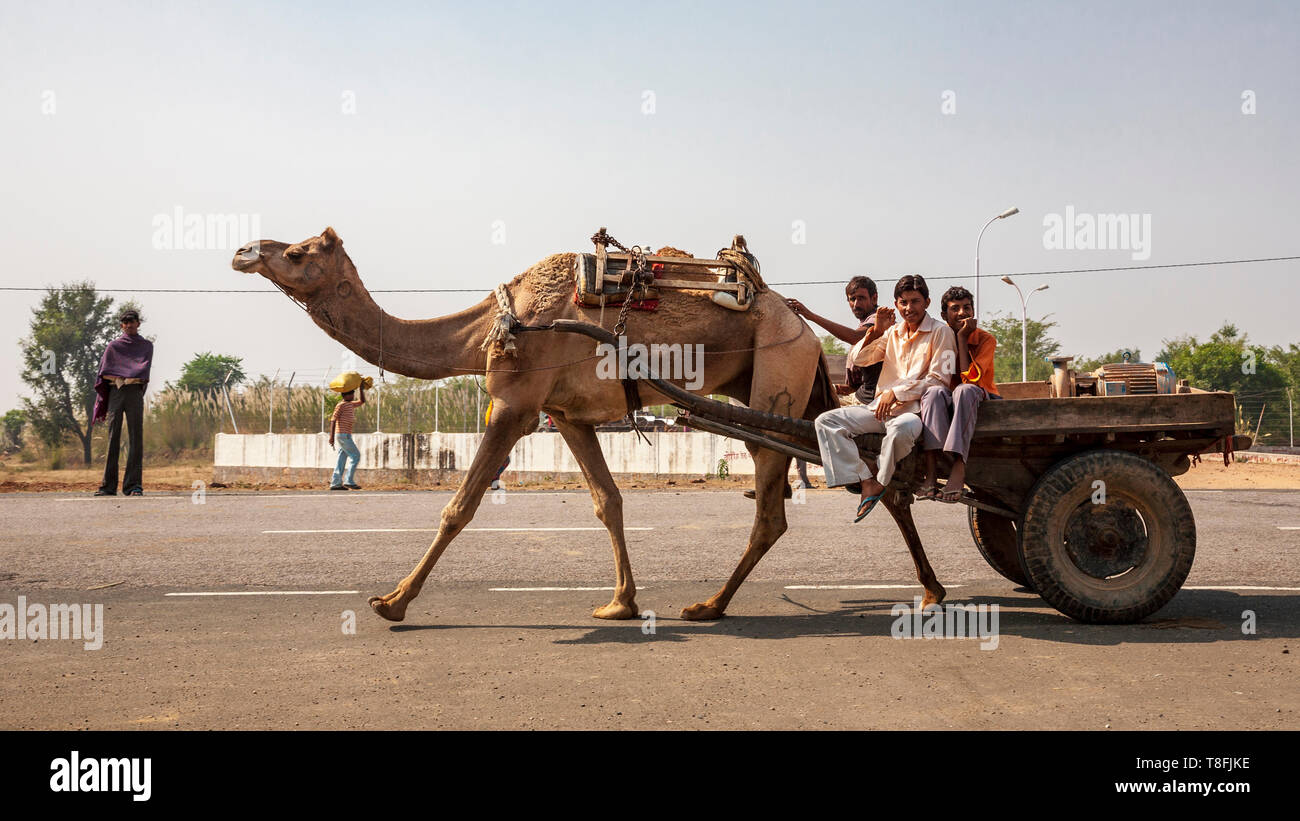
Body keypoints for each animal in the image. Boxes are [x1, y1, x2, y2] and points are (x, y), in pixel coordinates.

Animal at [231, 227, 946, 622]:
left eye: (298, 251)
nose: (243, 249)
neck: (496, 324)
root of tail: (799, 324)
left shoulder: (516, 404)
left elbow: (460, 506)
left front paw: (392, 602)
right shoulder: (565, 414)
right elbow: (608, 500)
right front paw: (620, 603)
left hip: (777, 376)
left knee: (778, 509)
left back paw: (710, 606)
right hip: (781, 392)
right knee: (878, 478)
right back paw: (931, 589)